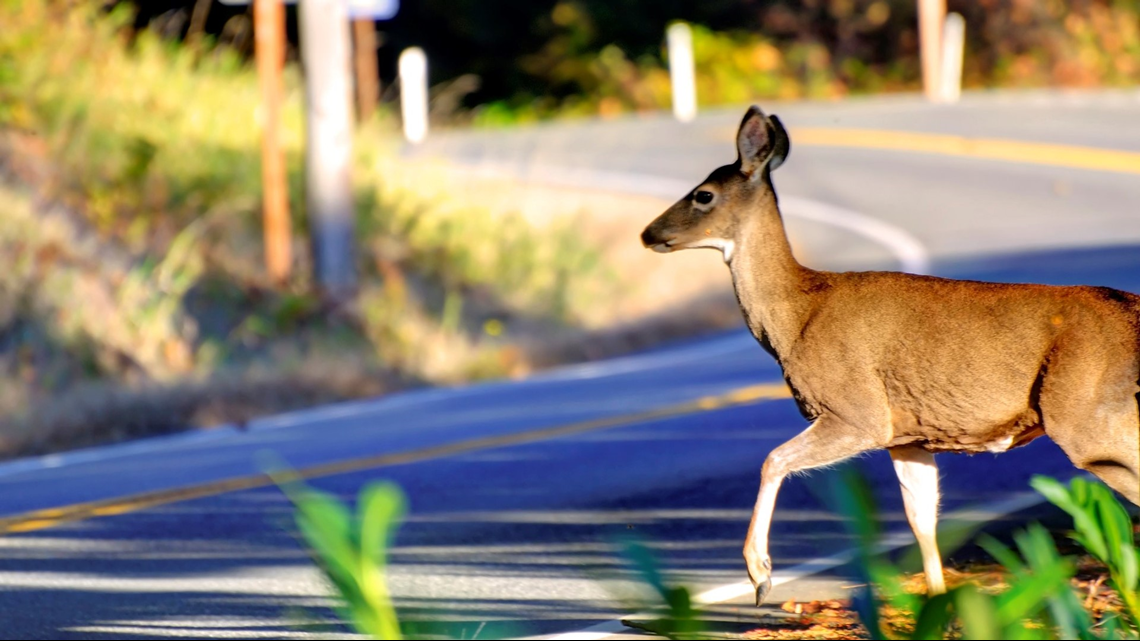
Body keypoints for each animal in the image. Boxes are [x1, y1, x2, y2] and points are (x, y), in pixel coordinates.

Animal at [641, 105, 1140, 606]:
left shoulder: (857, 411)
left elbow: (773, 459)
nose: (648, 233)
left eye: (703, 194)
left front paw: (760, 575)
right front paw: (937, 603)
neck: (797, 315)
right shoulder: (910, 435)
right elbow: (921, 518)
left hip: (1089, 419)